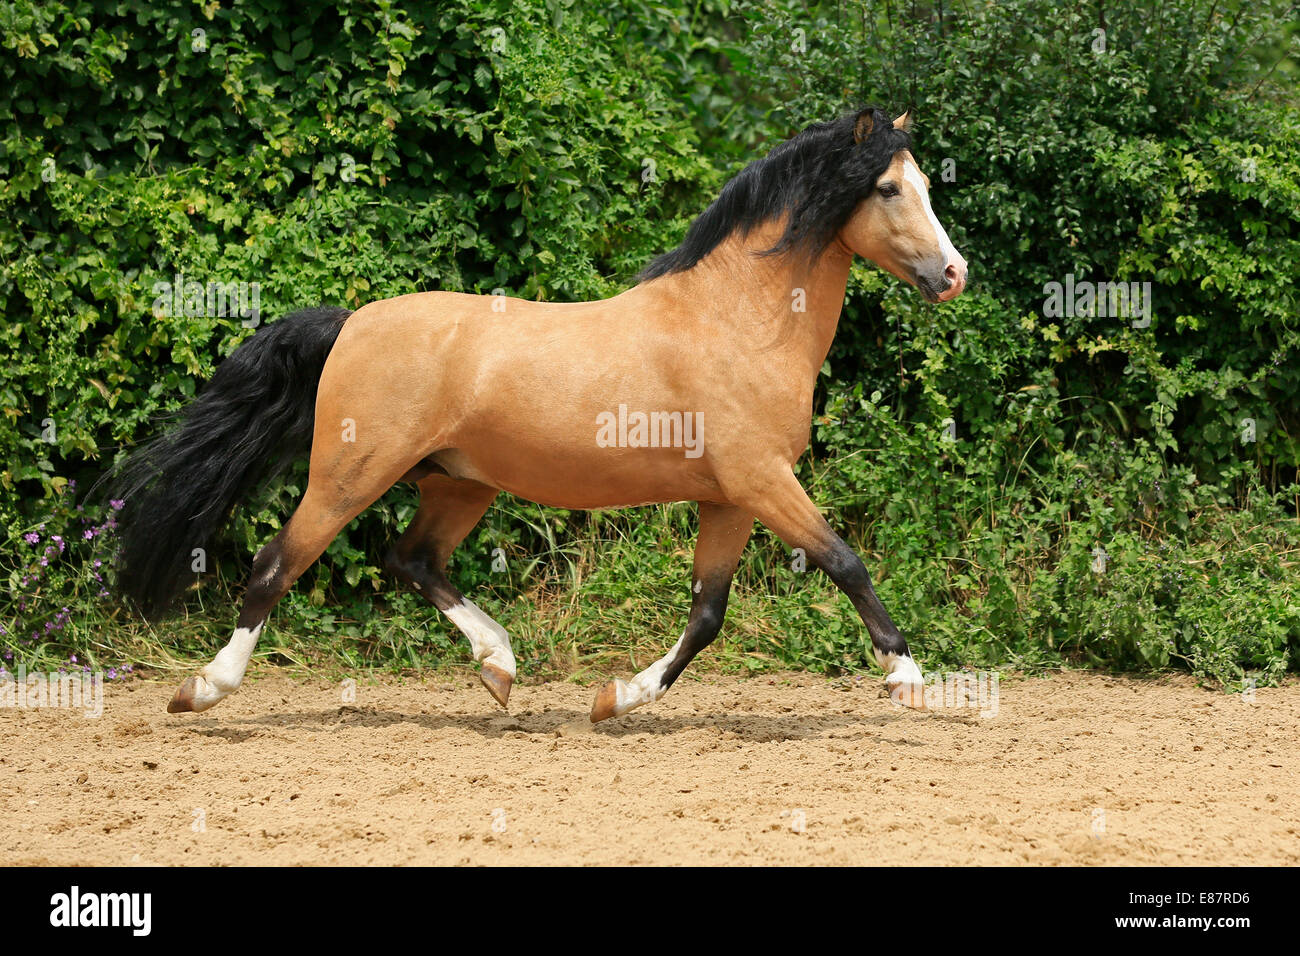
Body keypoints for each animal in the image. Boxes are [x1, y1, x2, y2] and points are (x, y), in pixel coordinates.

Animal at [110, 107, 967, 721]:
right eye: (889, 189)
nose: (953, 274)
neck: (735, 321)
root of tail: (351, 323)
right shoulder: (761, 480)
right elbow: (844, 561)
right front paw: (907, 674)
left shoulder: (729, 496)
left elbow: (707, 612)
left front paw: (615, 699)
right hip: (348, 477)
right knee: (275, 565)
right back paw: (202, 689)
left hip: (458, 483)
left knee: (413, 560)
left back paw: (500, 667)